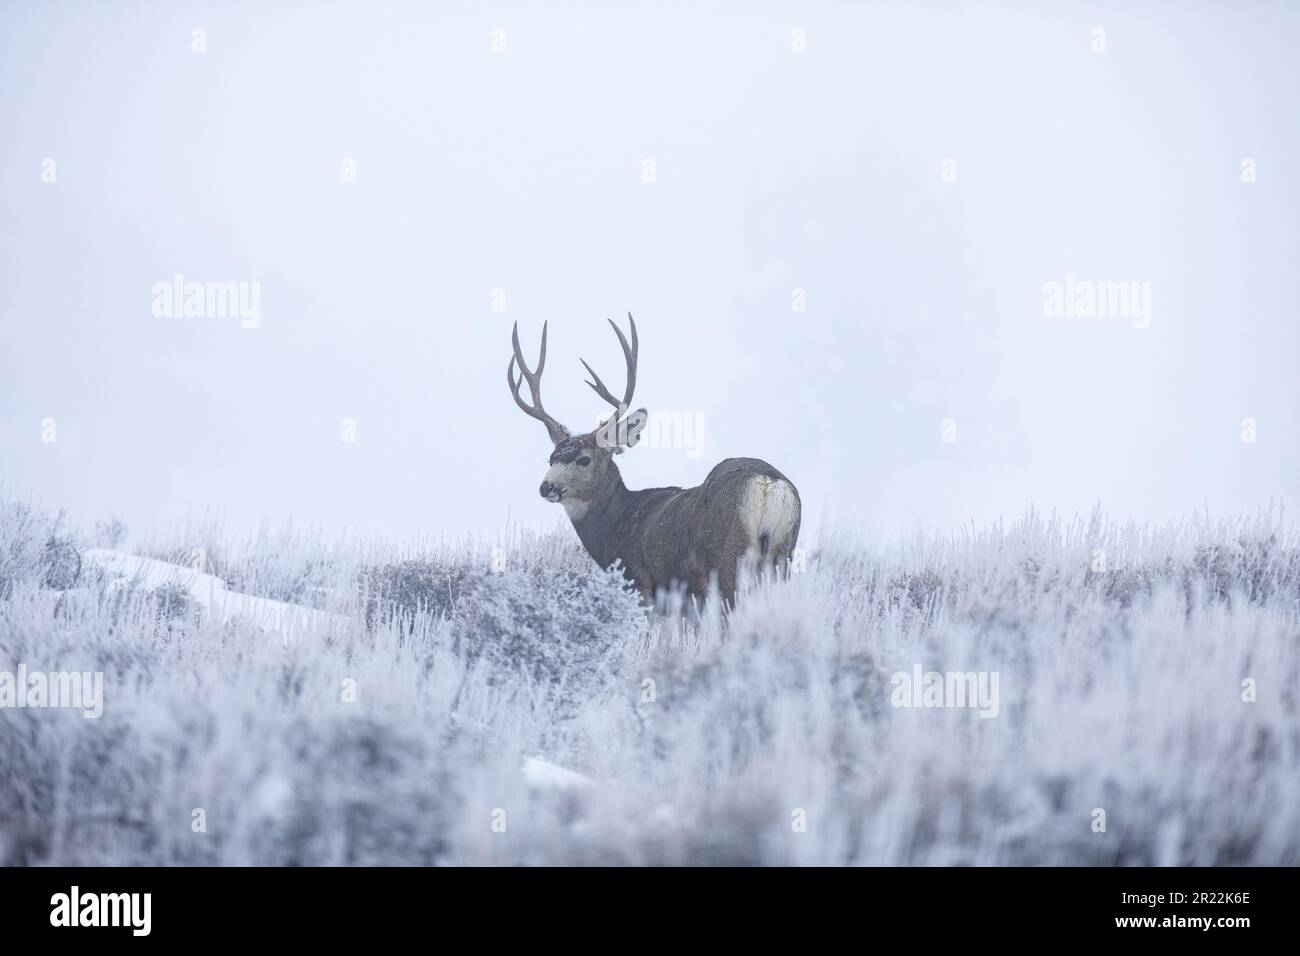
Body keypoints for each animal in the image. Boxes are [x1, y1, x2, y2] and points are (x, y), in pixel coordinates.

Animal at [507, 313, 801, 606]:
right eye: (551, 458)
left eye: (584, 459)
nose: (546, 486)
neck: (615, 522)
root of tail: (769, 484)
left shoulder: (639, 580)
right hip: (782, 556)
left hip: (728, 557)